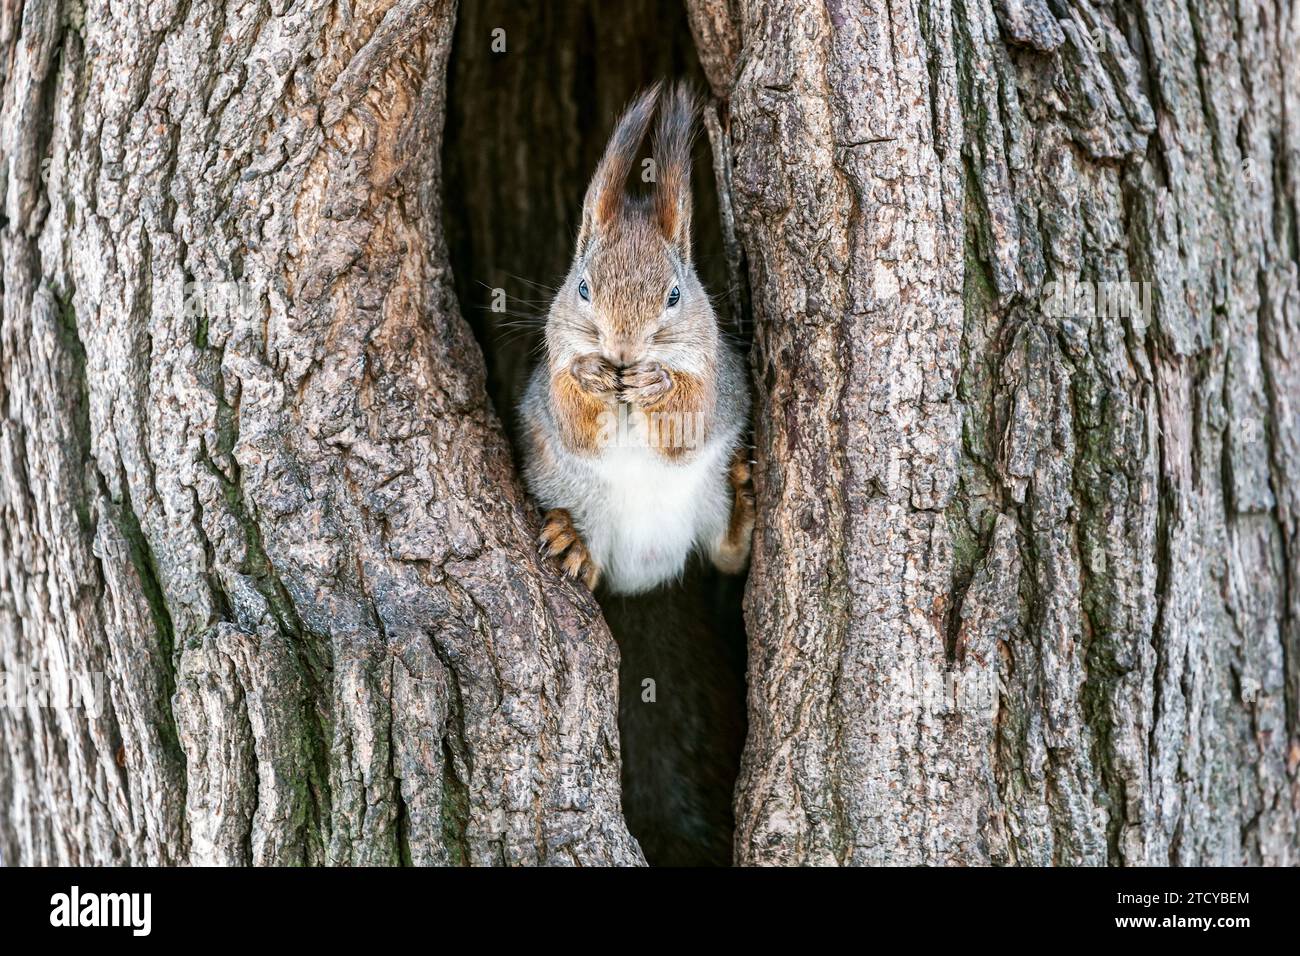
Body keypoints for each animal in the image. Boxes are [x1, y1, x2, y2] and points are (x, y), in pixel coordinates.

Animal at [520, 81, 754, 596]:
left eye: (674, 295)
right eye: (583, 288)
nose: (623, 351)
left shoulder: (716, 376)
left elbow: (688, 421)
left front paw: (656, 384)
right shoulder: (549, 381)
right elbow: (573, 421)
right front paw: (588, 374)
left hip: (709, 495)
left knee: (727, 555)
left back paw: (744, 504)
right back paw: (572, 543)